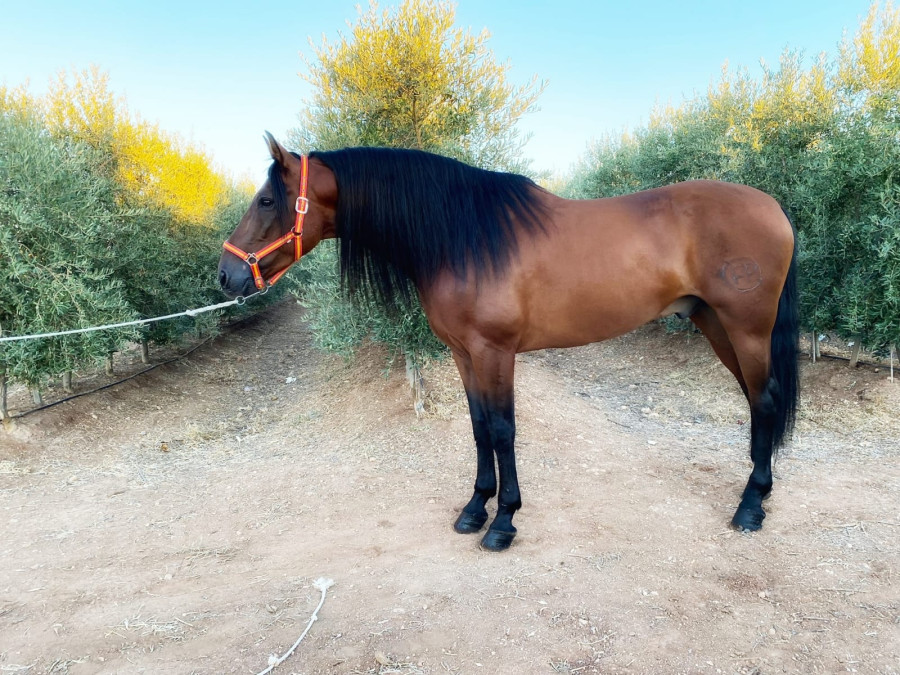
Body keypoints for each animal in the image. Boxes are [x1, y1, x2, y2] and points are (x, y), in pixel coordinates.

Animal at [218, 133, 799, 552]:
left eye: (266, 200)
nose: (227, 275)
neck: (464, 237)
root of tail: (773, 208)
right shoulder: (463, 354)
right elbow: (478, 428)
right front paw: (475, 509)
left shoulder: (494, 353)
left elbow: (502, 430)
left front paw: (503, 522)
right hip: (715, 325)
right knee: (756, 403)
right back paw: (759, 492)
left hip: (746, 328)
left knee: (765, 400)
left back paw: (751, 507)